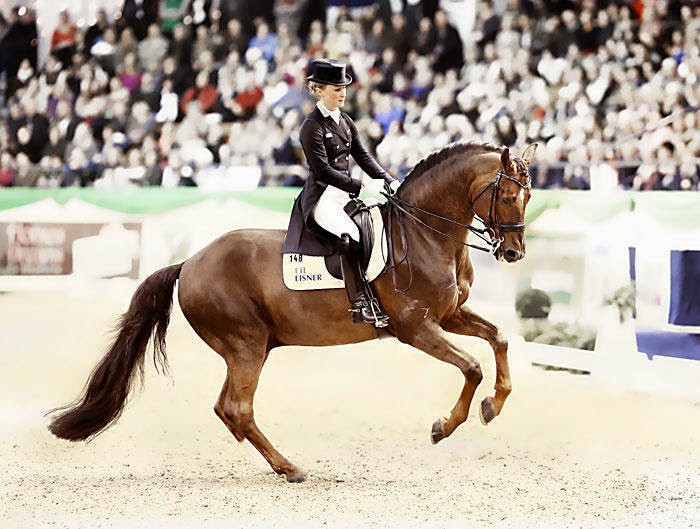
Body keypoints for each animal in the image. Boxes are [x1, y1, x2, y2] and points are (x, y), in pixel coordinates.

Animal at [48, 141, 537, 483]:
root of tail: (189, 263)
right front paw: (444, 427)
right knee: (238, 408)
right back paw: (292, 467)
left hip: (251, 347)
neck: (423, 233)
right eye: (508, 196)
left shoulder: (450, 315)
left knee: (229, 409)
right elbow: (471, 366)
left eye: (528, 197)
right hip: (245, 345)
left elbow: (499, 338)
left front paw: (493, 405)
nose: (514, 252)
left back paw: (280, 464)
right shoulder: (416, 327)